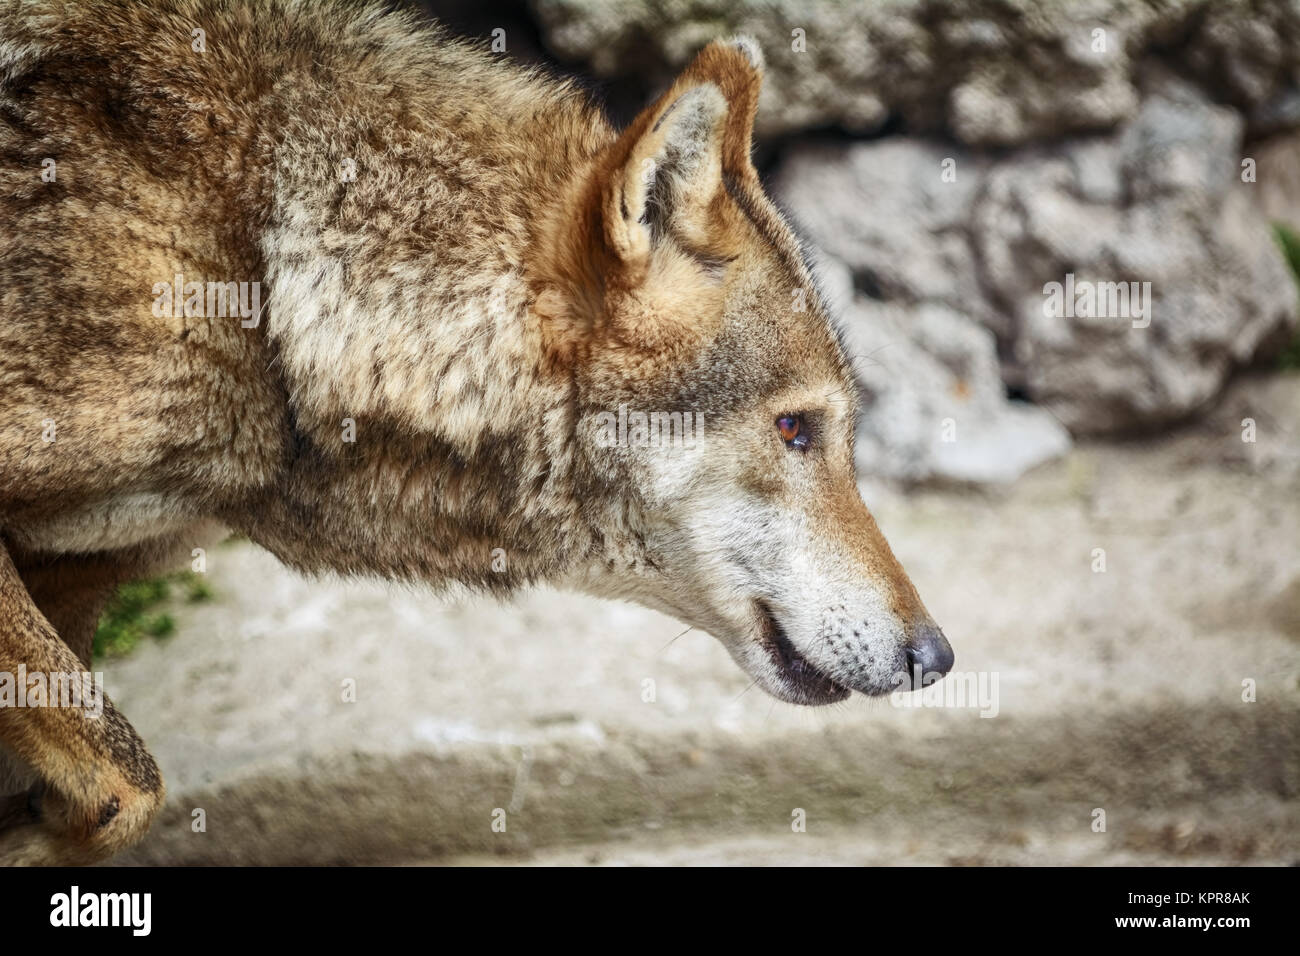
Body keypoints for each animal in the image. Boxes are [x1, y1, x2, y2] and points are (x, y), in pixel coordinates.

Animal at [0, 0, 953, 864]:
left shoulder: (85, 572)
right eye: (795, 429)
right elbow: (130, 786)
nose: (936, 657)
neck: (263, 284)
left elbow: (113, 781)